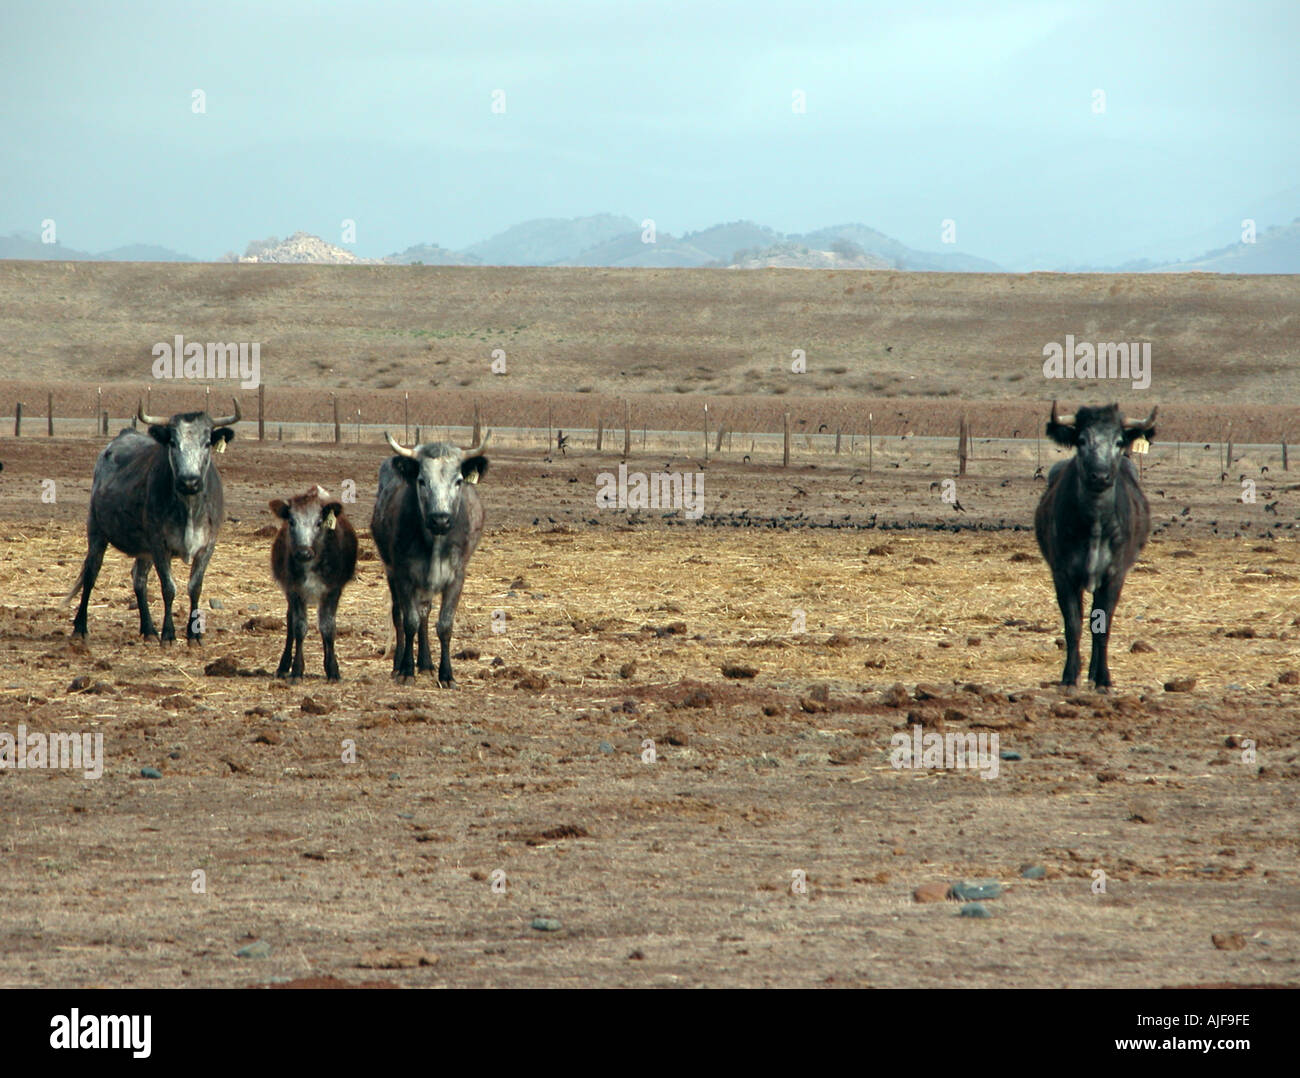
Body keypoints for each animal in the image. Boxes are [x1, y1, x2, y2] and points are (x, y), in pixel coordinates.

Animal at [68, 400, 241, 644]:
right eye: (173, 442)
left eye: (207, 443)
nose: (189, 481)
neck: (189, 508)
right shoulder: (160, 545)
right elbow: (168, 588)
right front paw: (168, 634)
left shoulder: (207, 546)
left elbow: (195, 587)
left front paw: (194, 634)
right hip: (96, 529)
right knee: (91, 572)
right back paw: (80, 626)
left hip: (143, 548)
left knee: (139, 578)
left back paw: (148, 629)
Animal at [269, 486, 358, 681]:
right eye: (291, 521)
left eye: (319, 522)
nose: (303, 552)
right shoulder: (295, 590)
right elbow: (299, 627)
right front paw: (296, 670)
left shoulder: (332, 590)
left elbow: (328, 627)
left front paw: (333, 669)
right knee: (290, 622)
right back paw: (283, 666)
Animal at [370, 431, 489, 684]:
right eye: (422, 481)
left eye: (458, 481)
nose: (440, 519)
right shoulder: (403, 574)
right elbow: (409, 621)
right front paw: (406, 670)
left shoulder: (456, 576)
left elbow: (444, 624)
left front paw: (446, 674)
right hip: (391, 572)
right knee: (399, 614)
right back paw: (399, 664)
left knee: (424, 612)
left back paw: (425, 663)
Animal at [1035, 401, 1156, 690]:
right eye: (1081, 440)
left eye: (1119, 441)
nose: (1100, 476)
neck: (1095, 525)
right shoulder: (1063, 574)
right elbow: (1073, 624)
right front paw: (1070, 675)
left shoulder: (1114, 576)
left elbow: (1102, 626)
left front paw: (1102, 677)